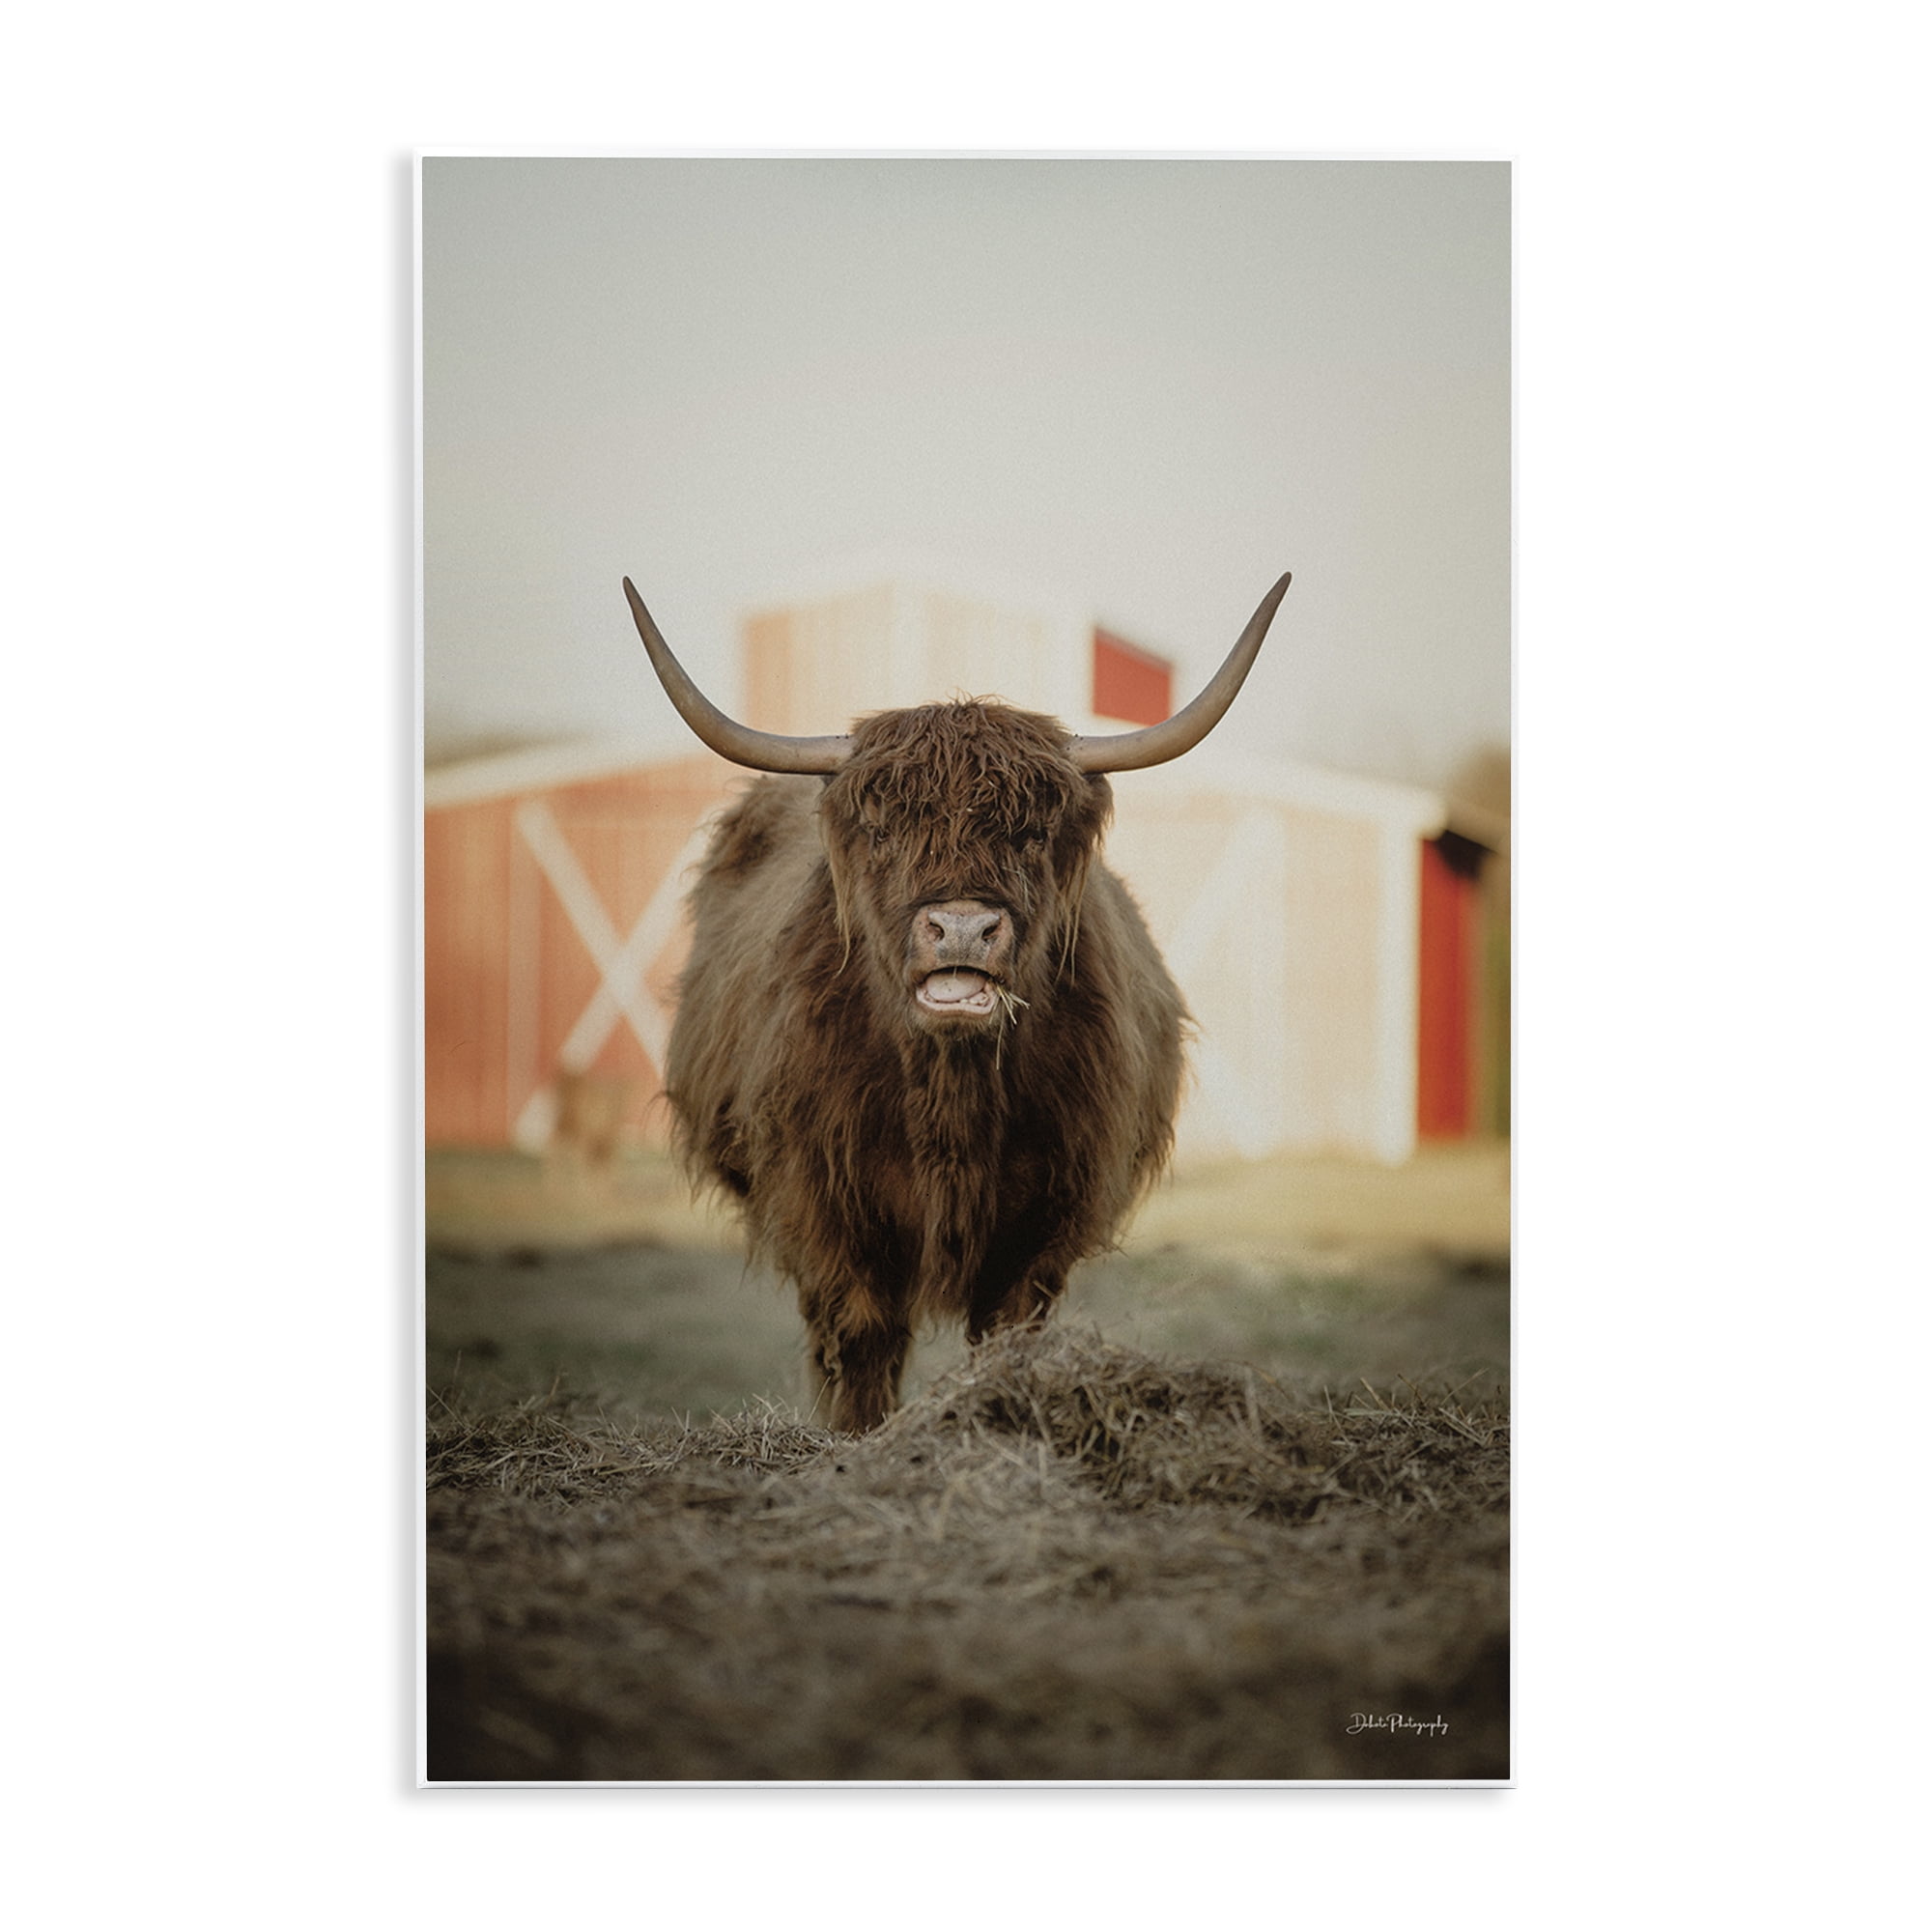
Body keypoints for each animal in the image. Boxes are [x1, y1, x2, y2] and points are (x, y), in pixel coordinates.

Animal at [623, 571, 1292, 1431]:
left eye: (1032, 833)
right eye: (883, 830)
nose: (964, 927)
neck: (950, 1096)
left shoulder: (1046, 1216)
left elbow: (1005, 1330)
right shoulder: (823, 1202)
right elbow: (862, 1336)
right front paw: (861, 1438)